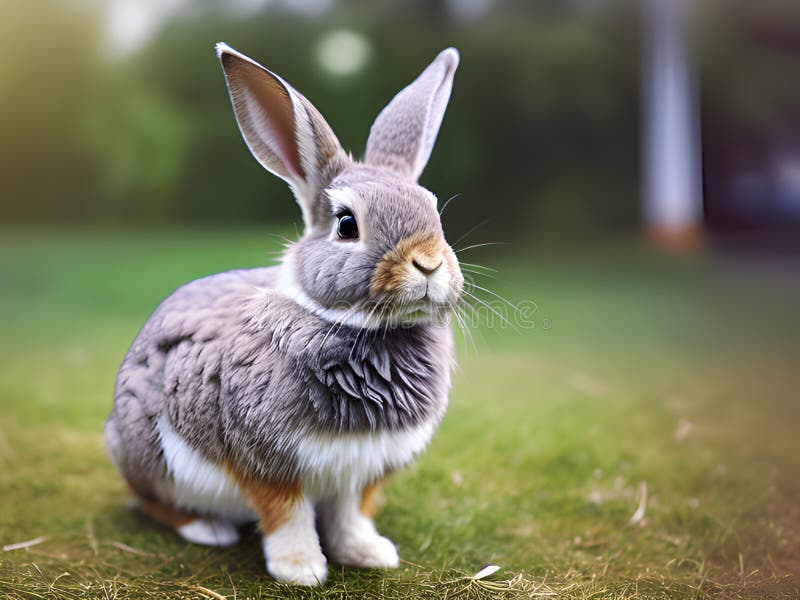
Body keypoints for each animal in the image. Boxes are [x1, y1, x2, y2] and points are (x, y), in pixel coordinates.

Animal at [104, 42, 463, 586]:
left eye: (434, 211)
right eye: (346, 224)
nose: (428, 263)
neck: (364, 329)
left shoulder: (359, 472)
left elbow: (349, 515)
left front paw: (369, 553)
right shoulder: (266, 461)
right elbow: (286, 514)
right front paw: (301, 569)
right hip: (148, 450)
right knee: (147, 499)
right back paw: (206, 529)